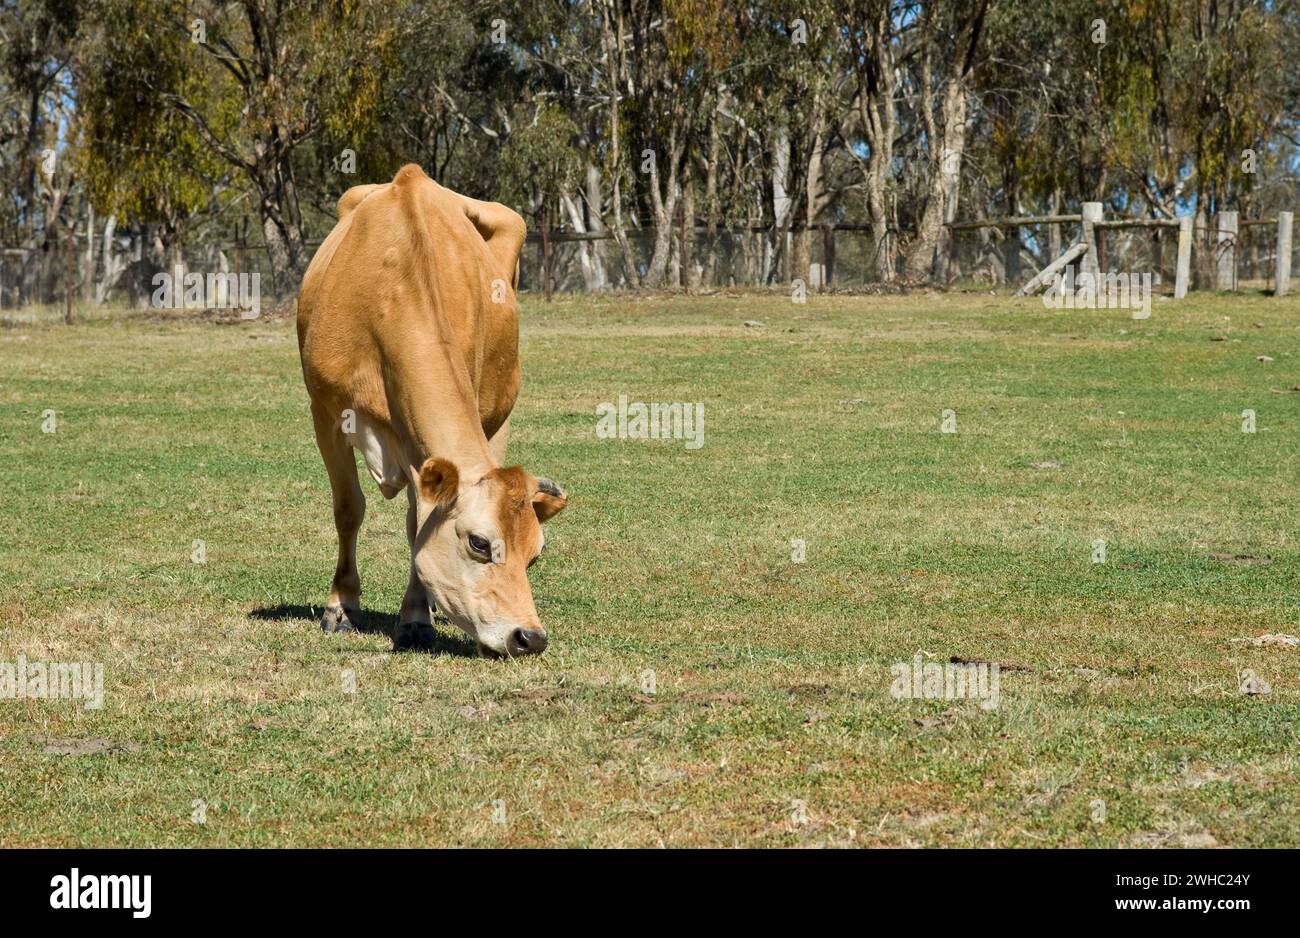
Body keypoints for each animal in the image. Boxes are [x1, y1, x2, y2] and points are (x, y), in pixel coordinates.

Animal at [296, 164, 567, 657]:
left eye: (535, 555)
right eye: (479, 543)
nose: (530, 637)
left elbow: (417, 523)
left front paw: (417, 617)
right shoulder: (325, 412)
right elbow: (348, 508)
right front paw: (341, 607)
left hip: (497, 414)